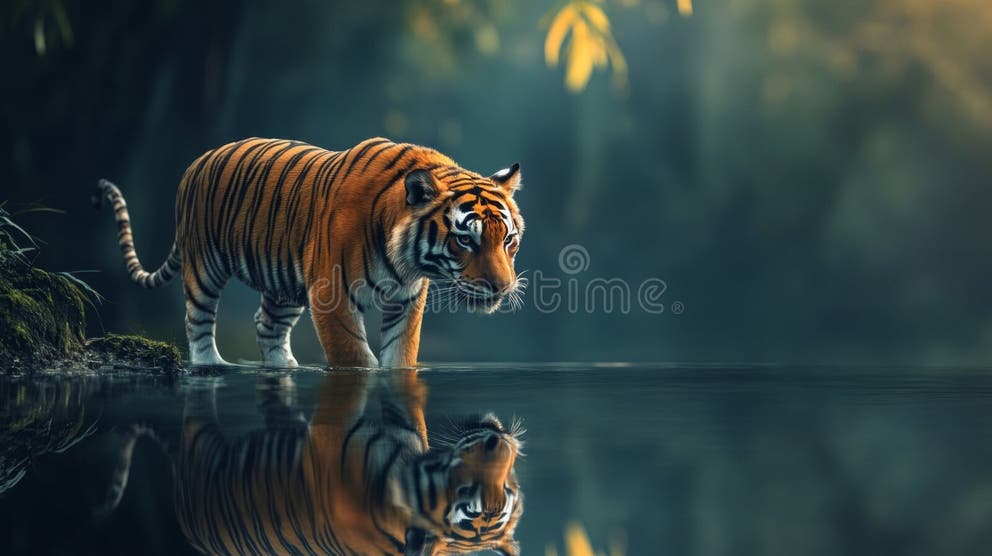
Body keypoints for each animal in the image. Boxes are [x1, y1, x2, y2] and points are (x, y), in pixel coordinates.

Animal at [94, 137, 525, 367]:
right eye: (465, 240)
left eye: (508, 240)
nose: (502, 288)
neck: (407, 263)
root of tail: (197, 161)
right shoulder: (331, 295)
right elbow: (354, 356)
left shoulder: (406, 300)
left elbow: (400, 354)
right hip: (204, 265)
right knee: (197, 318)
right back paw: (211, 365)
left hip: (284, 285)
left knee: (266, 324)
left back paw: (284, 367)